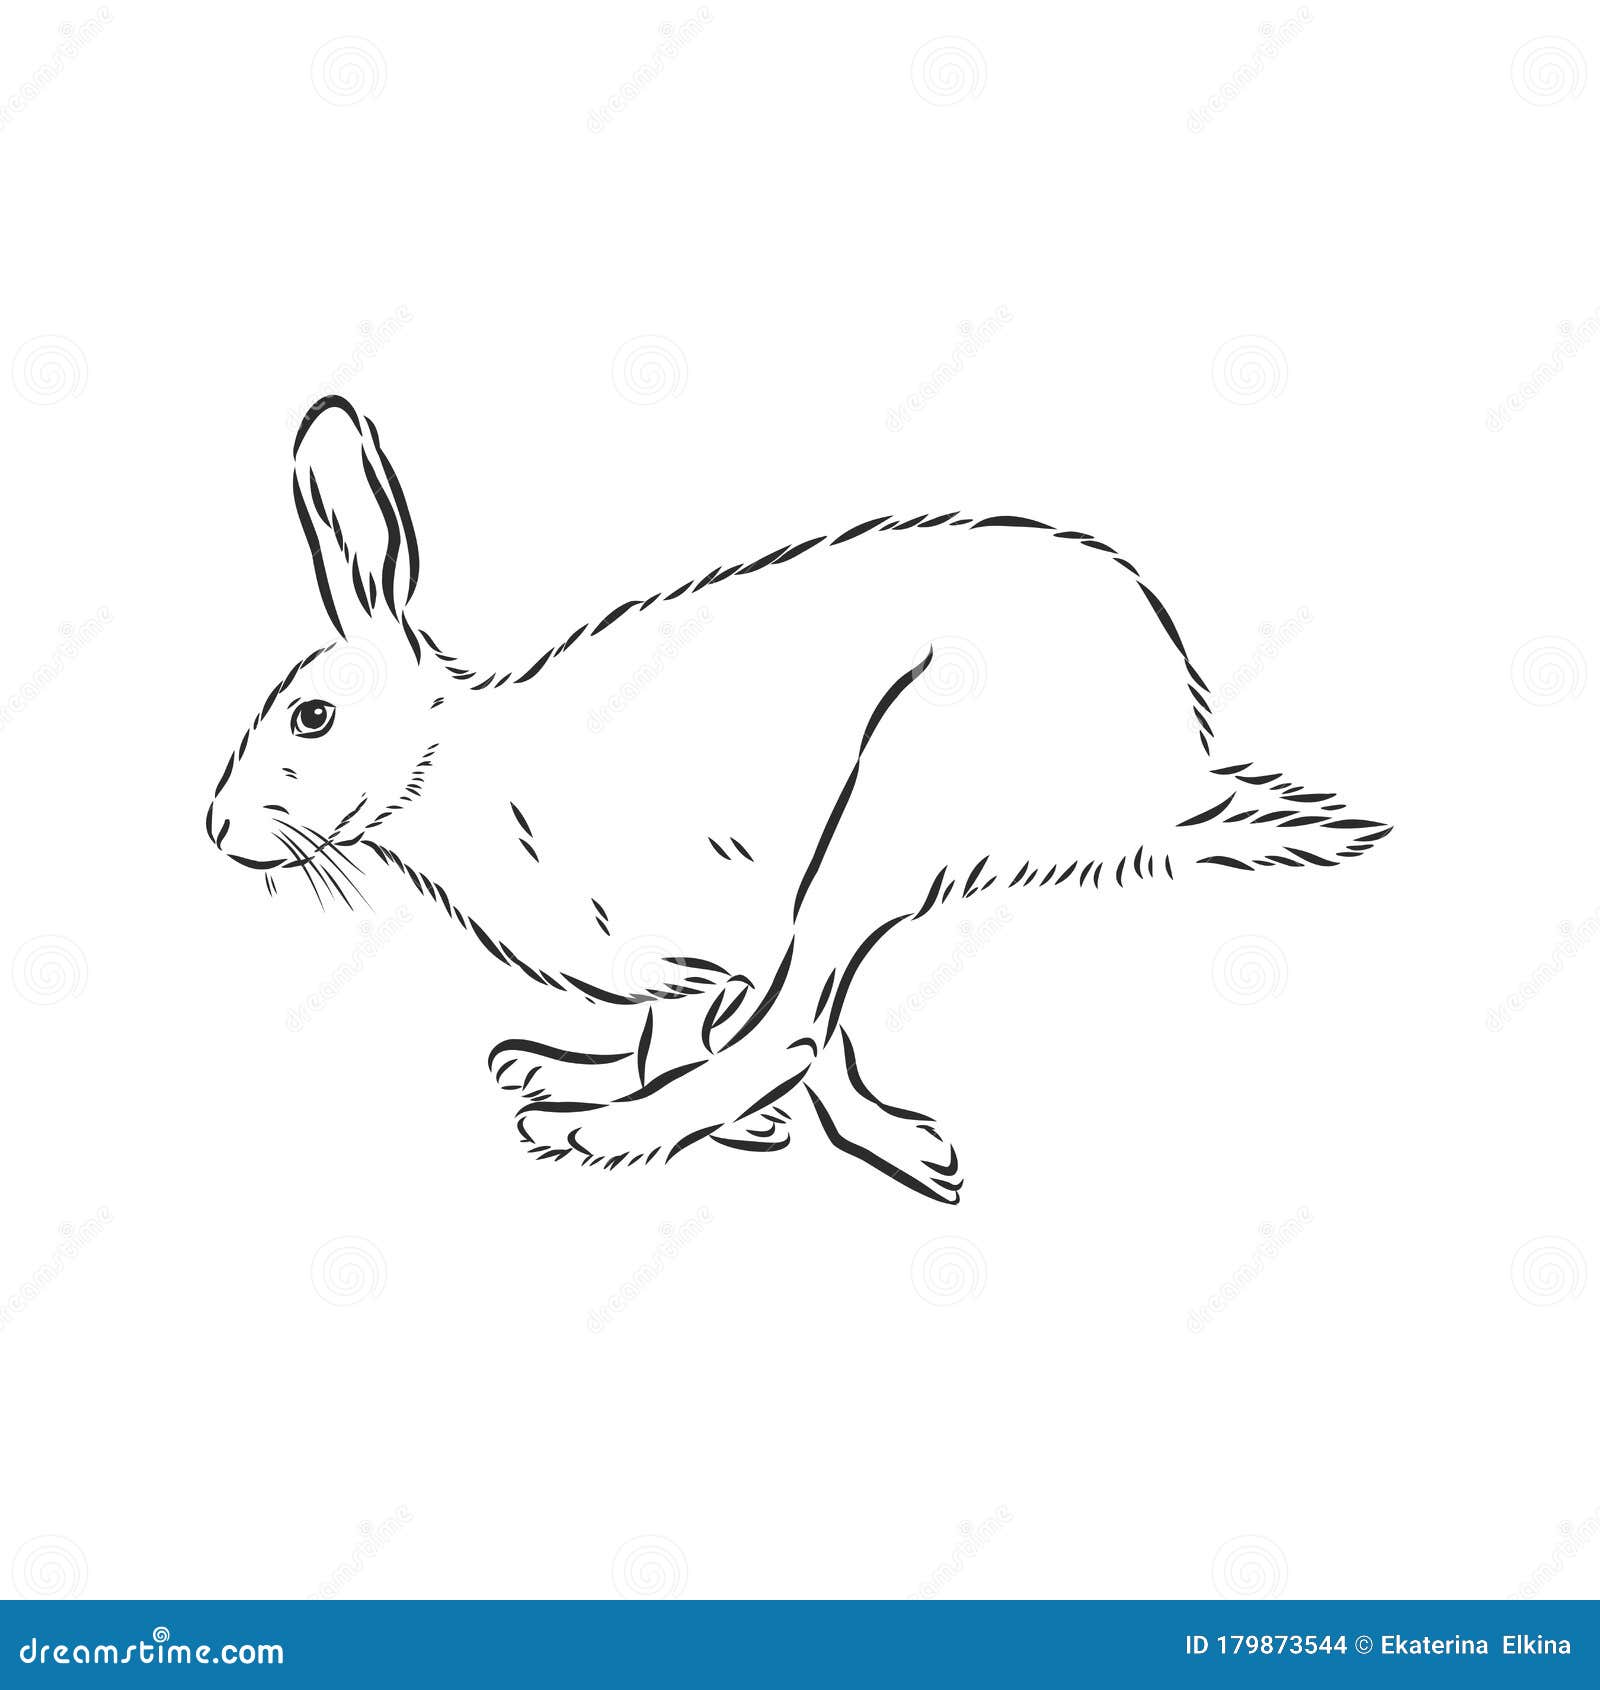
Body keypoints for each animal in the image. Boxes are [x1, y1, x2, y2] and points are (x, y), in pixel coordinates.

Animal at [206, 396, 1391, 1203]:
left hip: (895, 803)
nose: (216, 828)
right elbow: (677, 1028)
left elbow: (785, 1036)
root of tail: (1163, 780)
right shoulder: (680, 963)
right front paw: (615, 1083)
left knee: (796, 1026)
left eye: (311, 717)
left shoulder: (738, 919)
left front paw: (693, 1122)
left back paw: (603, 1135)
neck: (456, 763)